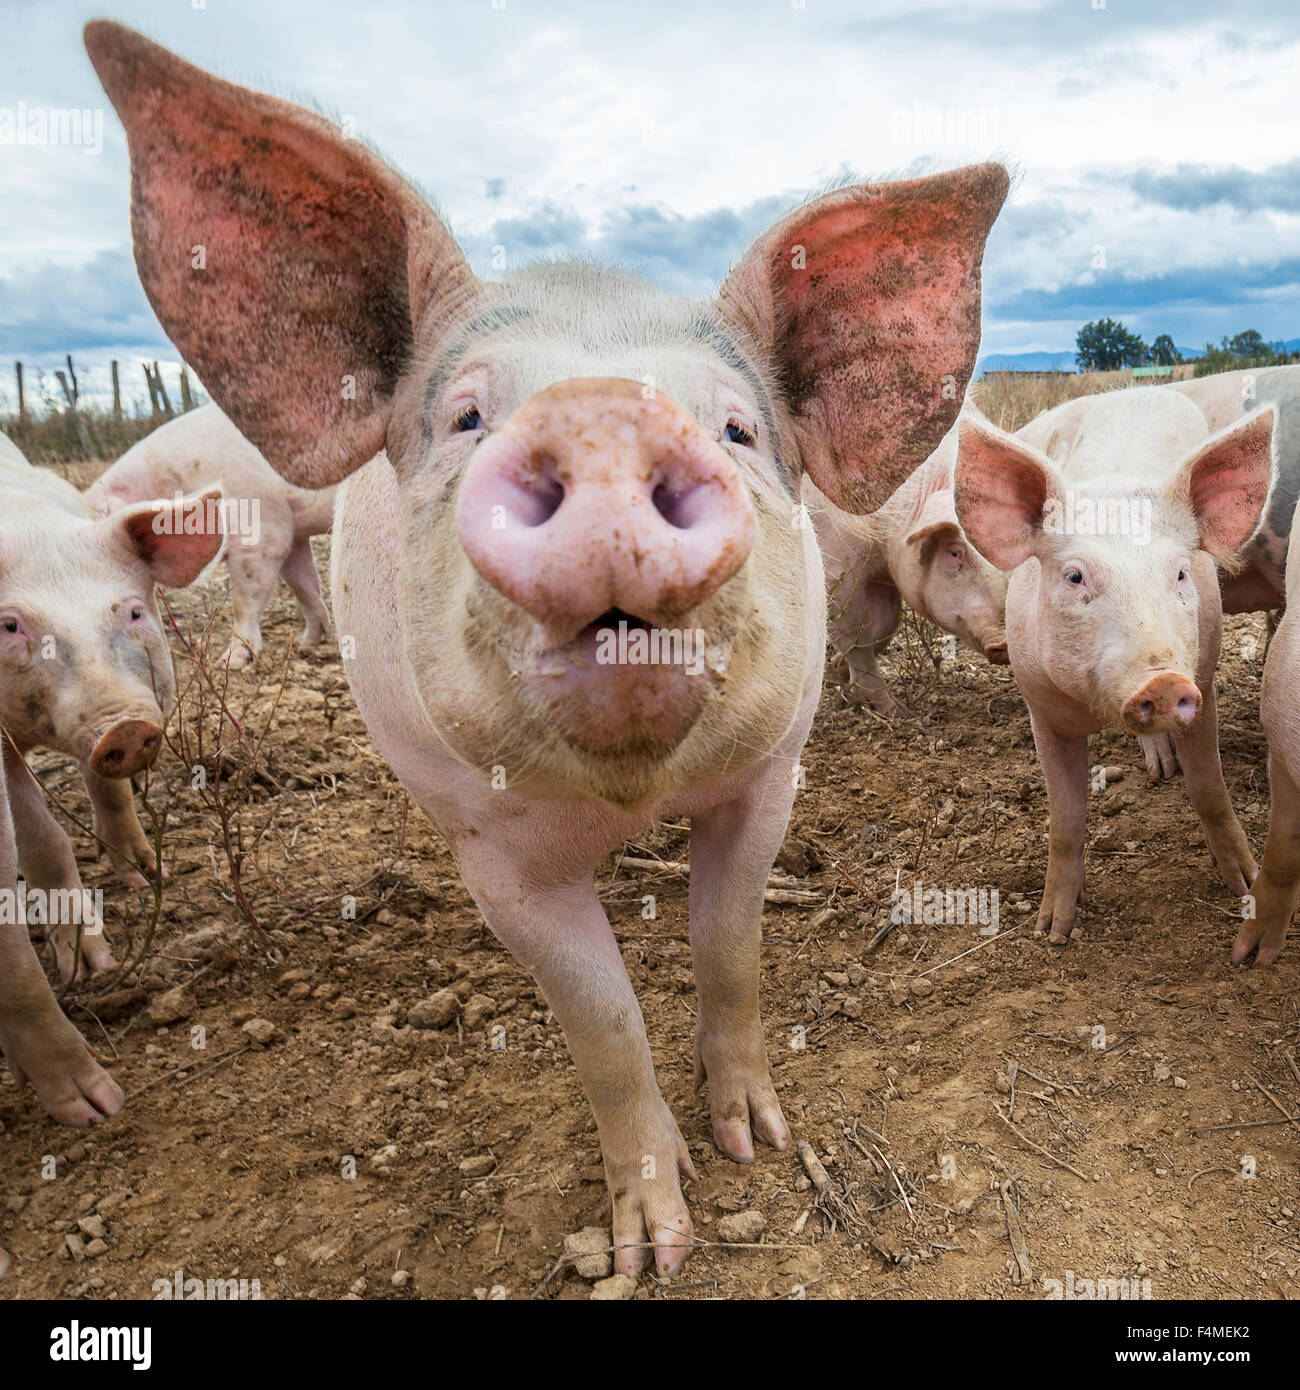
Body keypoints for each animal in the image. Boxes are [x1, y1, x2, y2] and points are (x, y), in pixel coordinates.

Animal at [0, 427, 223, 976]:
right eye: (11, 625)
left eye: (135, 612)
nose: (123, 726)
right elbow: (38, 832)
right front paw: (91, 966)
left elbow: (114, 793)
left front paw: (150, 875)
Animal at [86, 404, 337, 669]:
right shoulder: (294, 534)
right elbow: (305, 586)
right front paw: (306, 642)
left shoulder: (263, 532)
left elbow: (245, 601)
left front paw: (230, 661)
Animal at [805, 414, 1009, 712]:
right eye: (955, 553)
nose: (1004, 641)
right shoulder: (838, 568)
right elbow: (856, 636)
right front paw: (893, 710)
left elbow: (885, 624)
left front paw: (836, 671)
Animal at [953, 387, 1274, 947]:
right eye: (1075, 577)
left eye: (1181, 573)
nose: (1163, 680)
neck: (1097, 708)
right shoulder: (1041, 709)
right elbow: (1065, 817)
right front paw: (1053, 930)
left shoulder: (1204, 680)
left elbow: (1209, 788)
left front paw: (1245, 883)